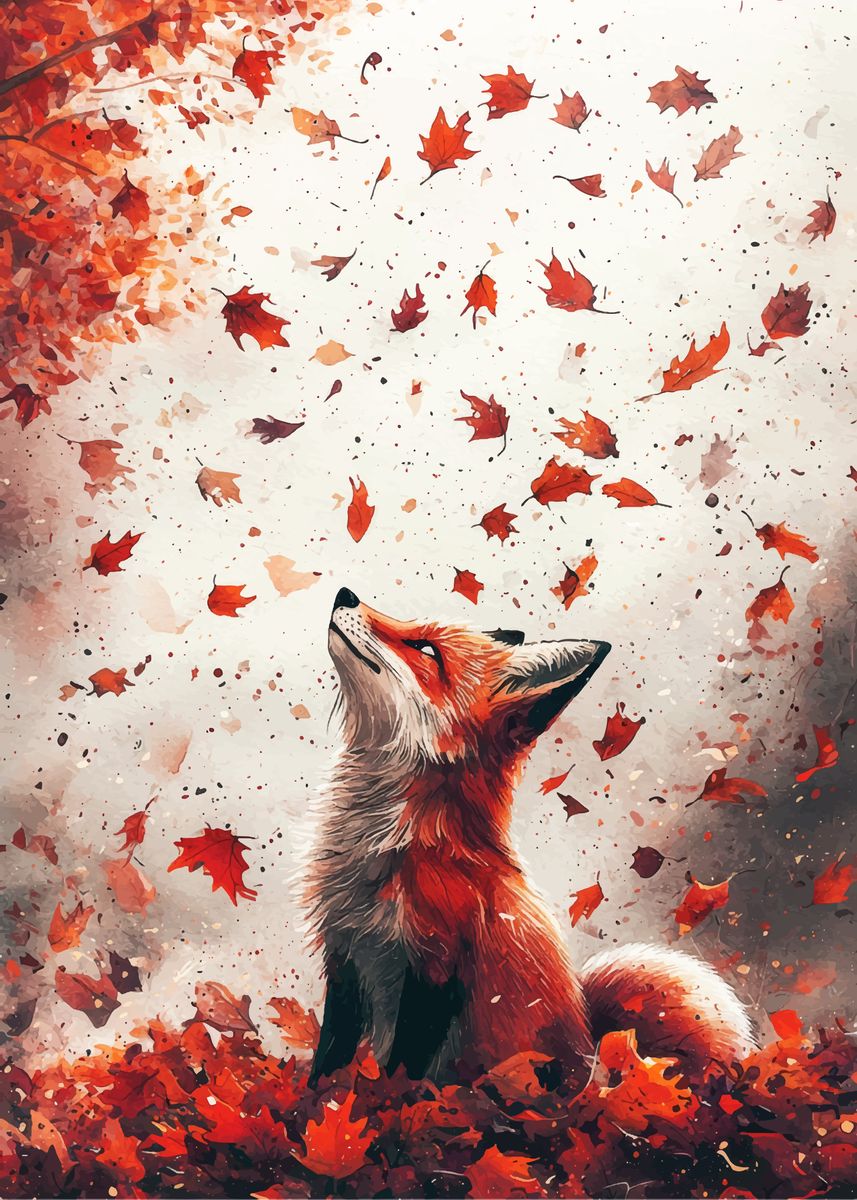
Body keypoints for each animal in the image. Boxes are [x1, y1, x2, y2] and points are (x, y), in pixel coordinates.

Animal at [306, 587, 756, 1087]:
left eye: (426, 649)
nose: (345, 593)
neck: (389, 845)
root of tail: (593, 1057)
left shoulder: (435, 972)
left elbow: (402, 1071)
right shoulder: (345, 956)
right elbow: (328, 1061)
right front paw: (316, 1103)